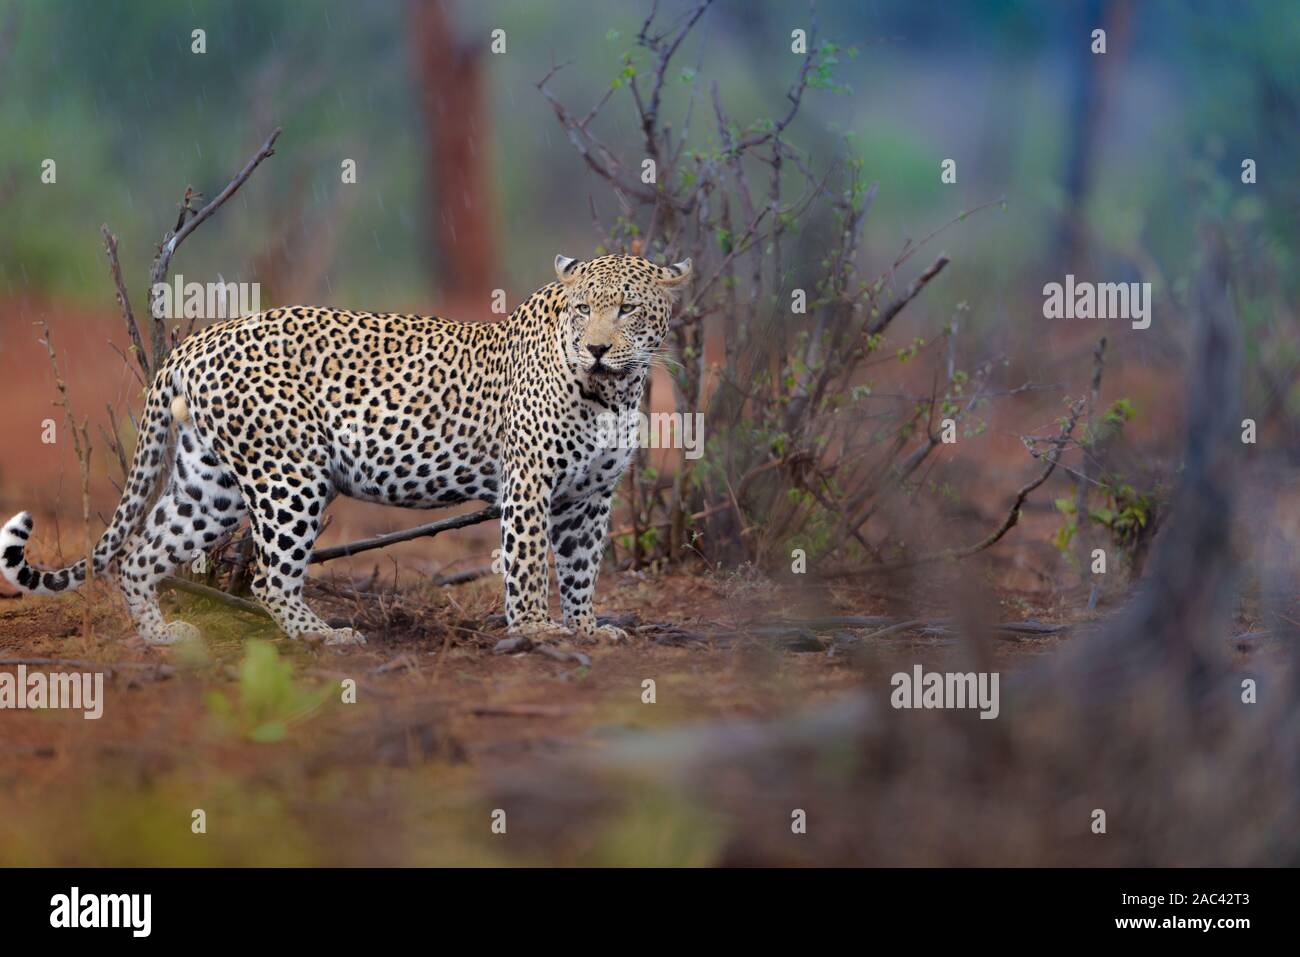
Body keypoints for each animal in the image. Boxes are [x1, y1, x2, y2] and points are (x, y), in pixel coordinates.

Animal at [1, 254, 691, 647]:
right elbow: (525, 564)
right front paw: (535, 630)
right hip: (289, 477)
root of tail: (196, 341)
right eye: (583, 309)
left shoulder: (590, 496)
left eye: (627, 309)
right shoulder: (529, 482)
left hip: (210, 483)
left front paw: (585, 628)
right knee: (271, 575)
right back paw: (324, 636)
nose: (596, 348)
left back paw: (161, 635)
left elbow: (580, 568)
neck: (613, 391)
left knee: (142, 552)